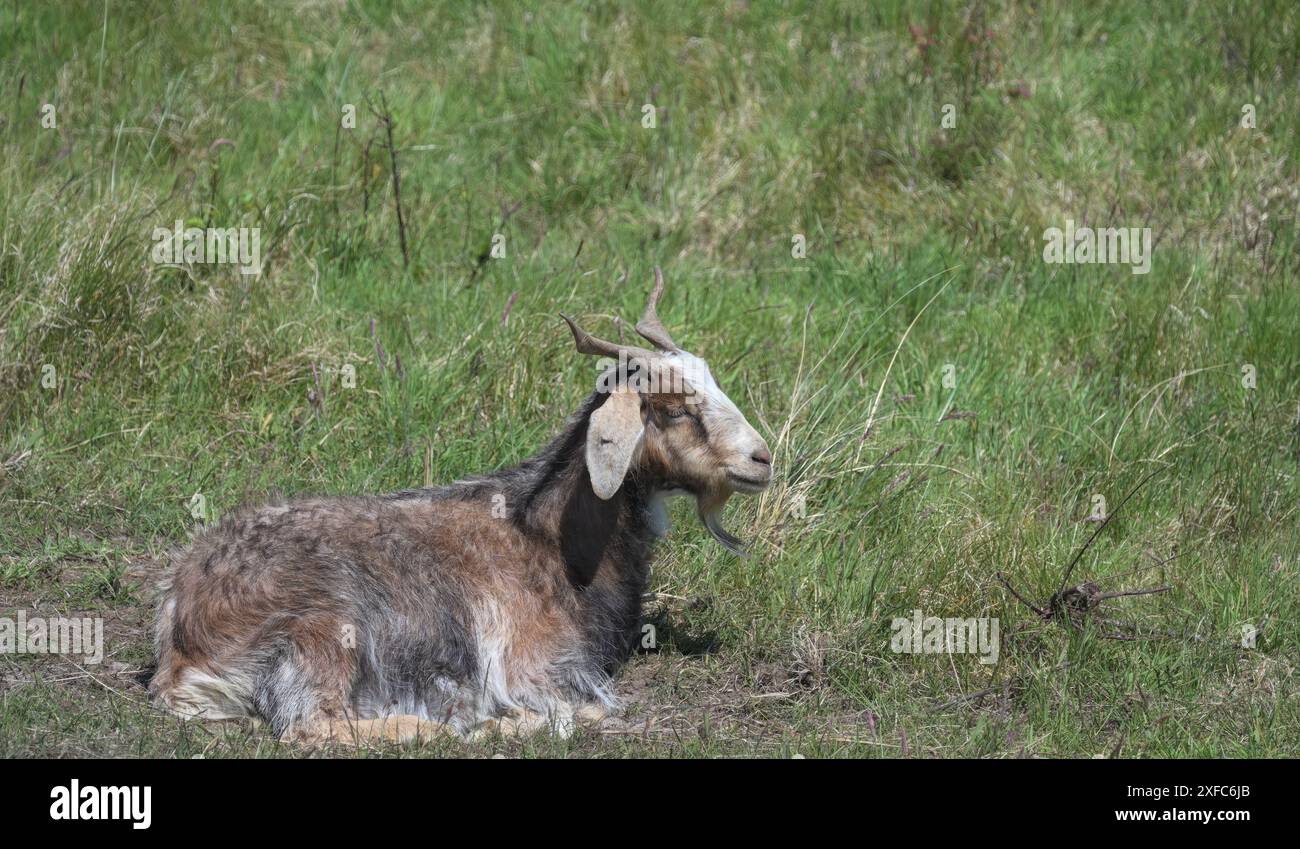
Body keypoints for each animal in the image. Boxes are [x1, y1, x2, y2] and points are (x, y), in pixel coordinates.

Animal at [149, 269, 773, 743]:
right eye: (673, 409)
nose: (762, 458)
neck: (549, 540)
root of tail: (179, 631)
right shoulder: (531, 666)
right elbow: (579, 710)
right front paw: (497, 720)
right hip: (325, 631)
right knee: (310, 725)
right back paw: (441, 727)